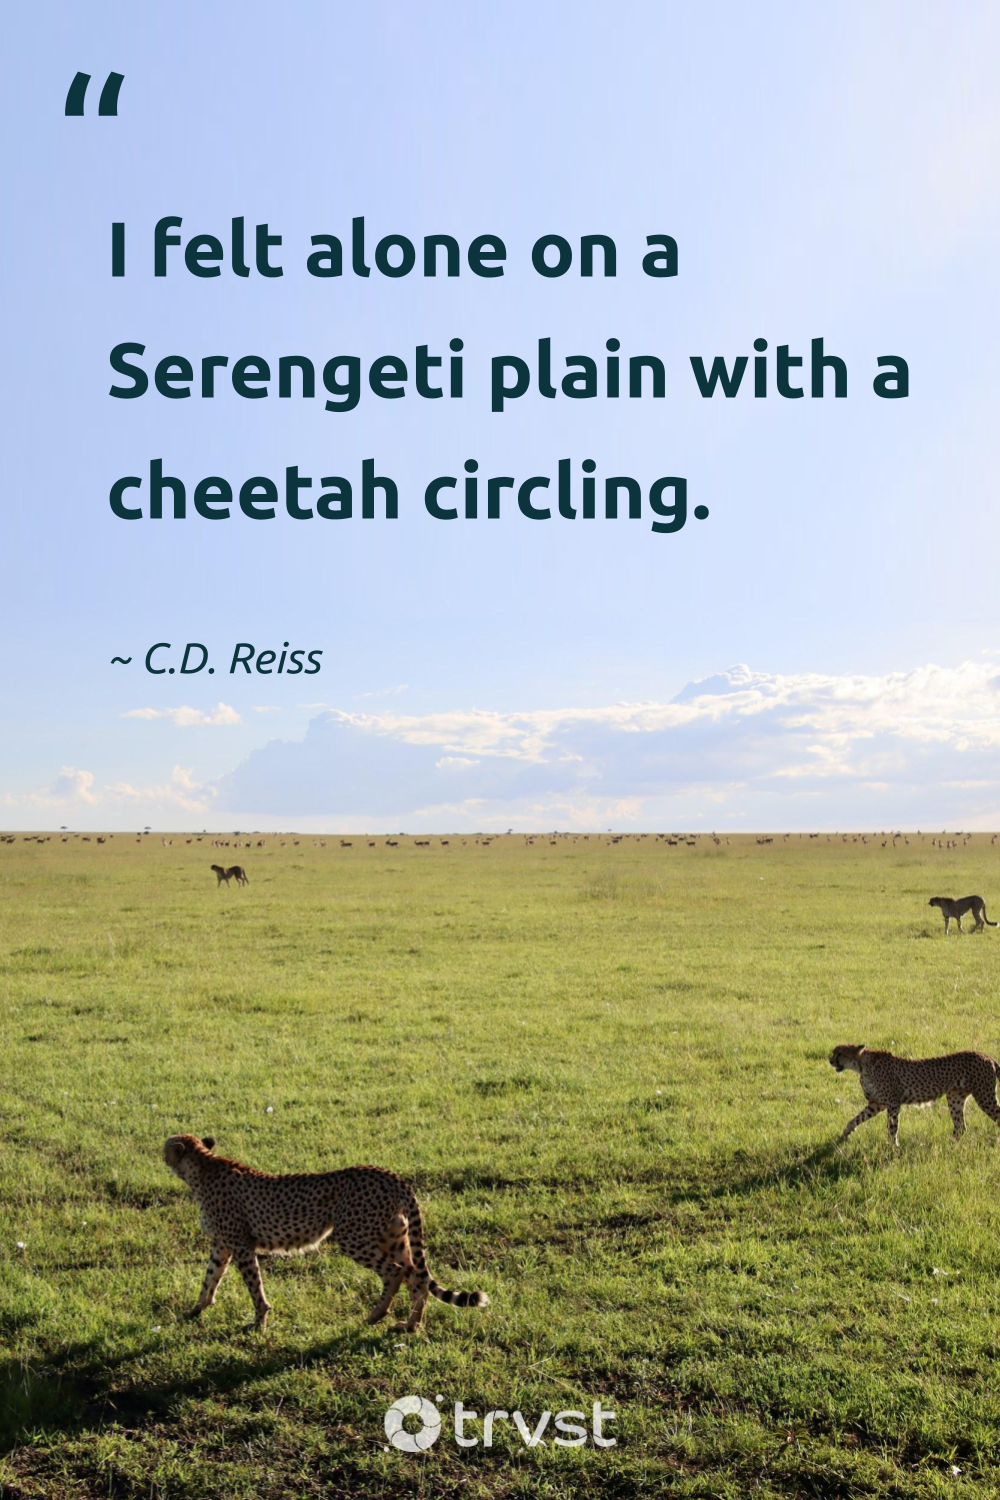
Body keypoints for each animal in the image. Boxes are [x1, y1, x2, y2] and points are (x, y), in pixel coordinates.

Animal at [163, 1134, 489, 1332]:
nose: (161, 1151)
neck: (201, 1169)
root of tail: (390, 1174)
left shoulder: (241, 1245)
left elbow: (254, 1286)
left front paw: (259, 1322)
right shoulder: (221, 1245)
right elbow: (210, 1277)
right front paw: (196, 1310)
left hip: (352, 1236)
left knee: (395, 1271)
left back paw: (377, 1315)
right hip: (394, 1236)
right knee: (416, 1276)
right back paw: (410, 1325)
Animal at [829, 1043, 1000, 1146]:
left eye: (839, 1053)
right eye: (834, 1052)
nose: (830, 1060)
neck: (861, 1065)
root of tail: (986, 1055)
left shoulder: (892, 1103)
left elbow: (892, 1127)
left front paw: (892, 1147)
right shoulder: (876, 1104)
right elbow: (855, 1119)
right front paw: (844, 1135)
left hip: (984, 1096)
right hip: (955, 1097)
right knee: (961, 1127)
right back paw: (950, 1144)